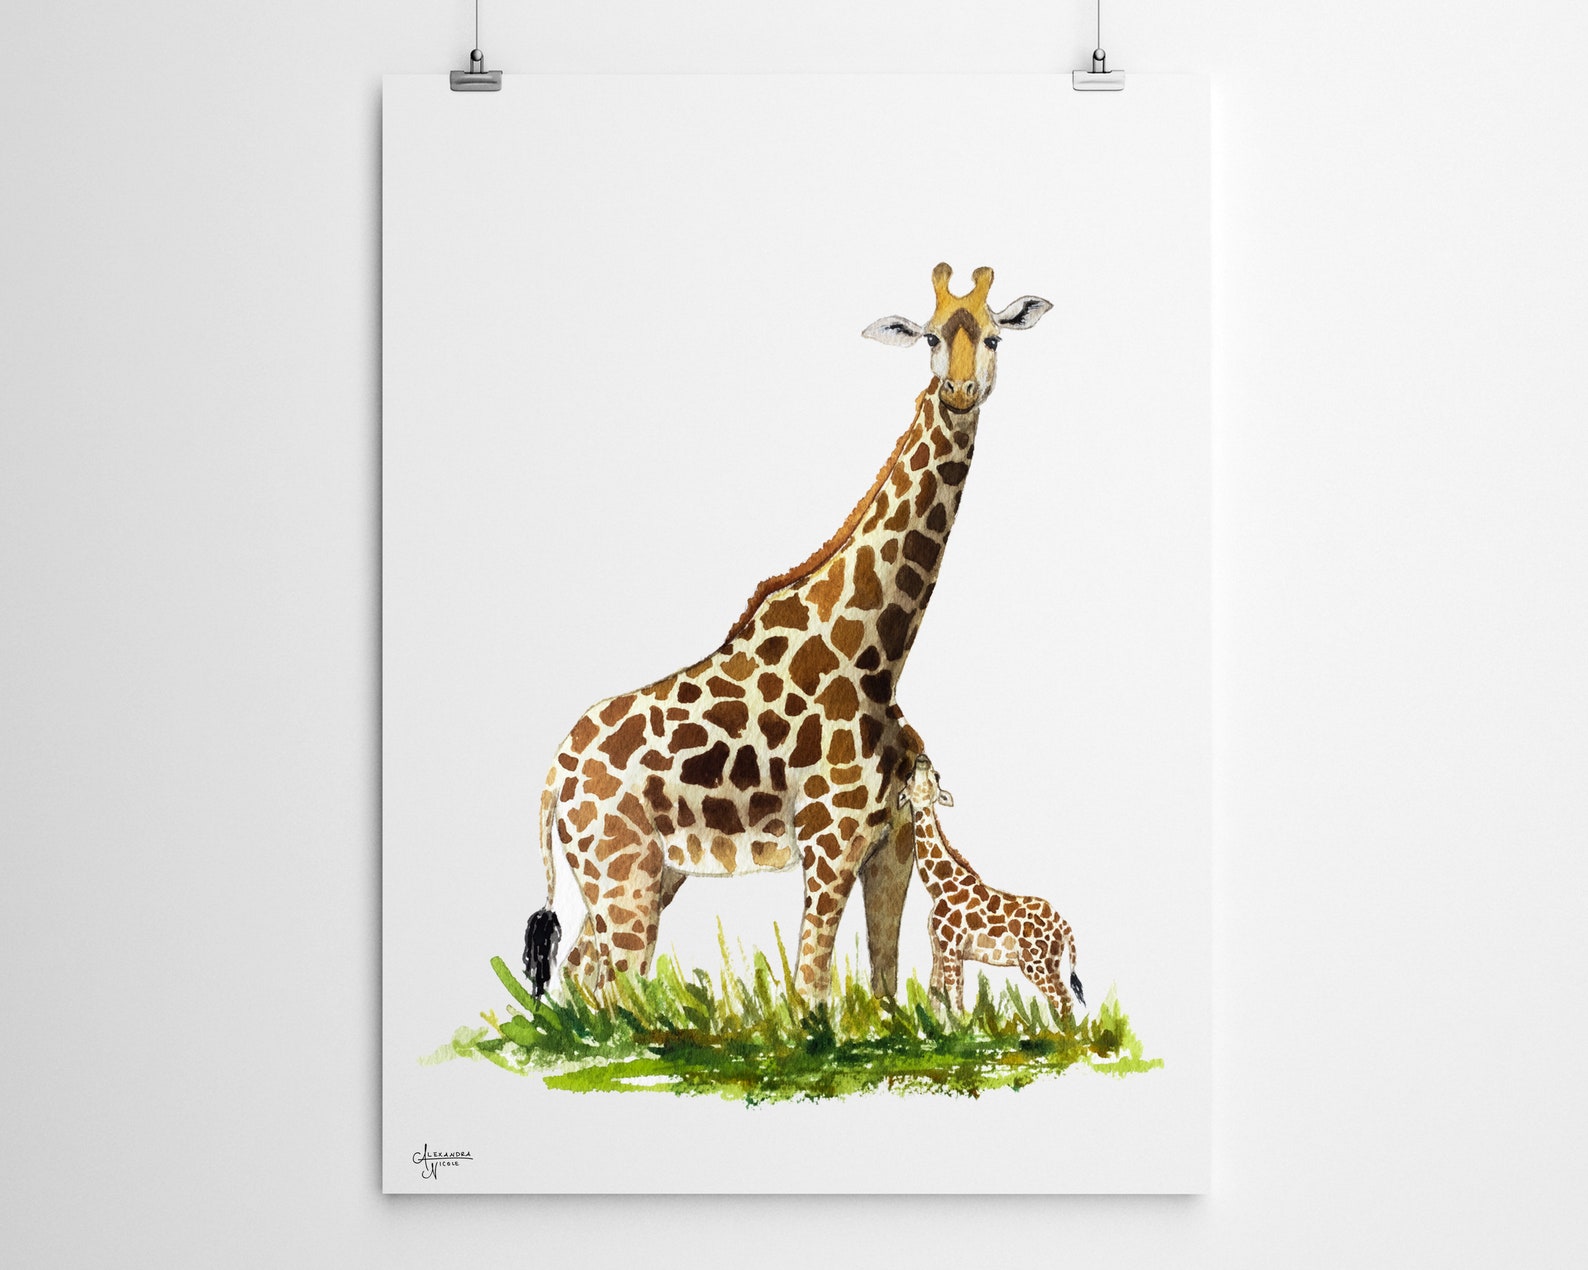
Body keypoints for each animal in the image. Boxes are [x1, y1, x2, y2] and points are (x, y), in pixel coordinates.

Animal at [523, 263, 1052, 1002]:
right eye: (929, 337)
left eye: (996, 336)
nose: (959, 392)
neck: (879, 656)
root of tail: (552, 778)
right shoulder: (829, 840)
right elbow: (810, 992)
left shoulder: (892, 844)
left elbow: (884, 987)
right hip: (619, 871)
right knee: (613, 986)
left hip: (649, 873)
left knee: (582, 977)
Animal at [898, 755, 1086, 1017]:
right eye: (909, 776)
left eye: (936, 776)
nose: (922, 759)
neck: (939, 886)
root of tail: (1064, 926)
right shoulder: (938, 947)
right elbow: (934, 998)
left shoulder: (952, 947)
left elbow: (956, 1003)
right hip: (1049, 963)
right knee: (1064, 1000)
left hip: (1035, 963)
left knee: (1061, 1000)